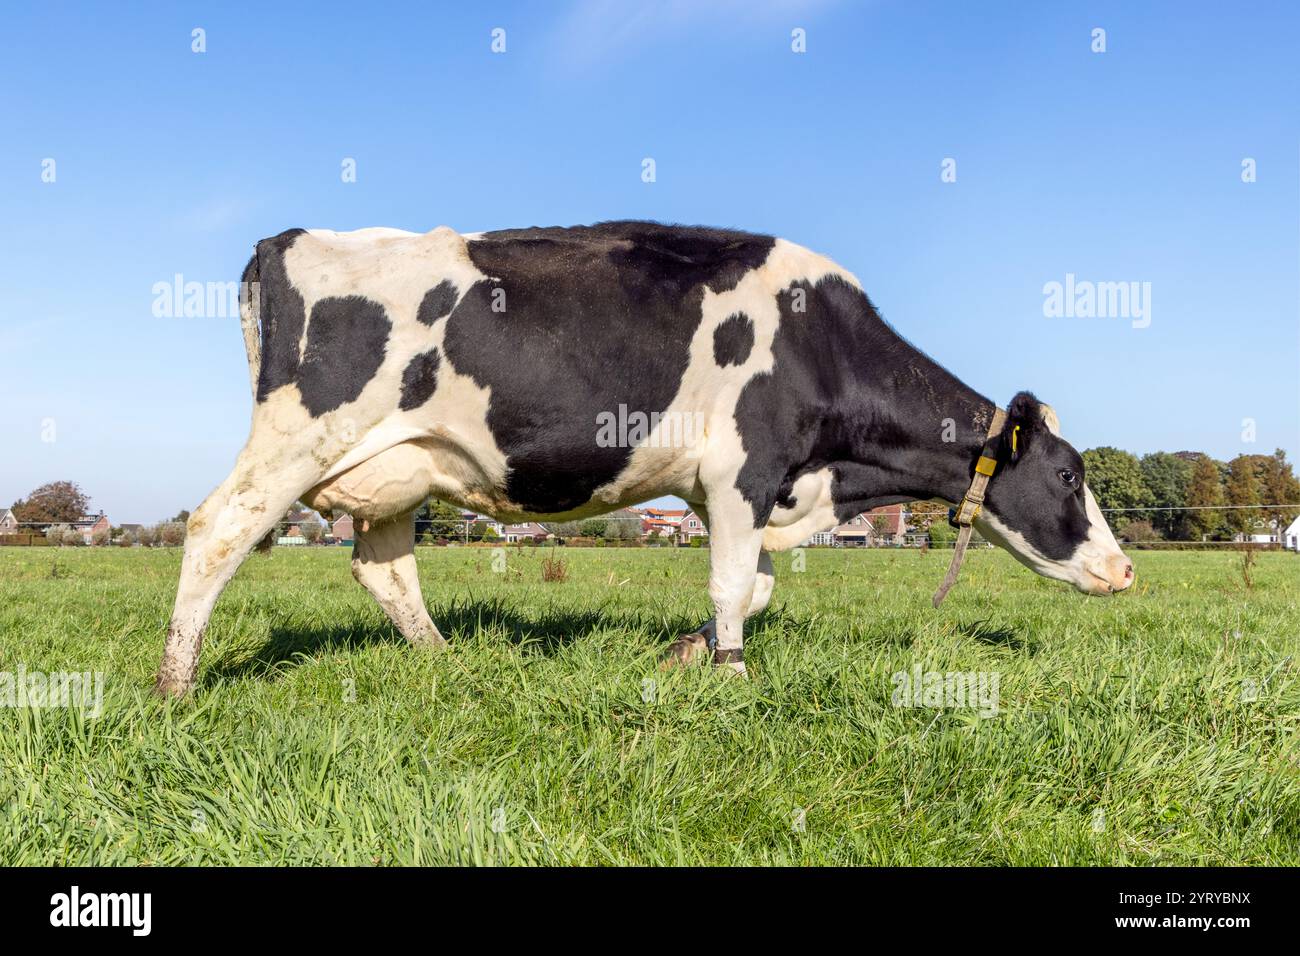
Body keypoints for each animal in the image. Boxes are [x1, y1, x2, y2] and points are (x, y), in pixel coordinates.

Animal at [154, 221, 1134, 696]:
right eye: (1068, 474)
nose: (1126, 569)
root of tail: (288, 239)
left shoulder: (718, 491)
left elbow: (753, 587)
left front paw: (687, 654)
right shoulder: (743, 471)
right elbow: (736, 587)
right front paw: (733, 677)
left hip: (399, 463)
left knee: (384, 569)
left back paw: (445, 662)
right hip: (300, 434)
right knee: (217, 529)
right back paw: (176, 685)